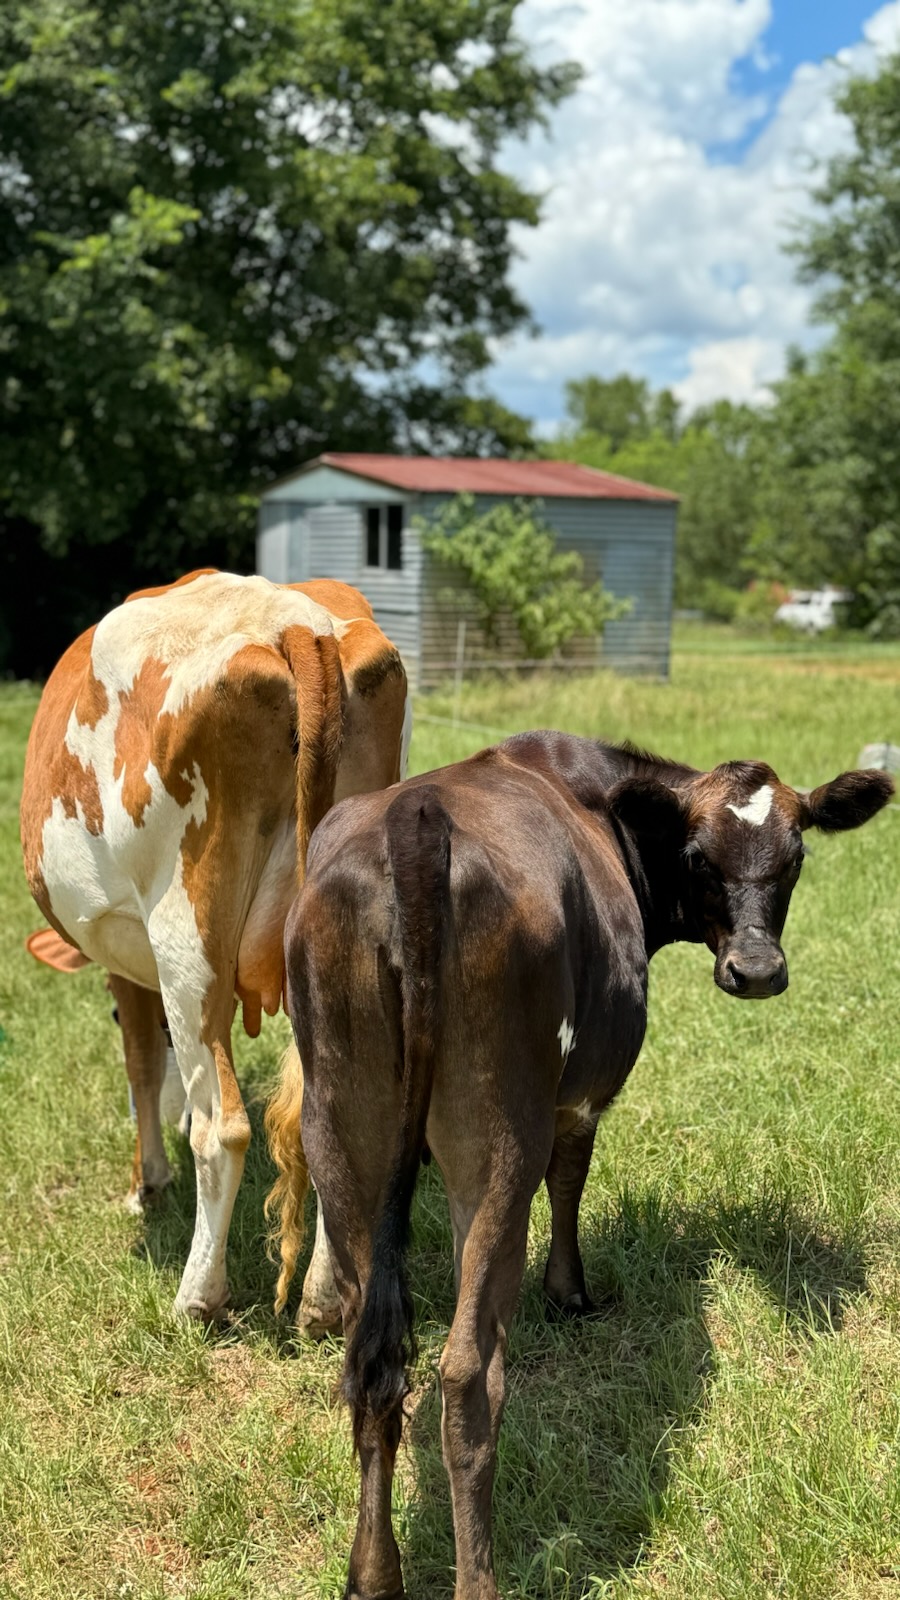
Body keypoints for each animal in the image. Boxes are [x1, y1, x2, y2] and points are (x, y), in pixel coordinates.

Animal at [21, 569, 409, 1322]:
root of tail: (293, 621)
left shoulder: (132, 961)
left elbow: (143, 1065)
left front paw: (146, 1184)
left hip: (185, 940)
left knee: (222, 1126)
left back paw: (198, 1297)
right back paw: (324, 1301)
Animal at [267, 730, 893, 1600]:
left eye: (796, 857)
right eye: (699, 856)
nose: (758, 970)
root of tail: (413, 819)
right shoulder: (586, 1090)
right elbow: (571, 1180)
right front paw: (569, 1292)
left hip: (341, 1120)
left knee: (373, 1361)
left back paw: (373, 1572)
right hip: (499, 1136)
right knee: (467, 1374)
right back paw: (477, 1579)